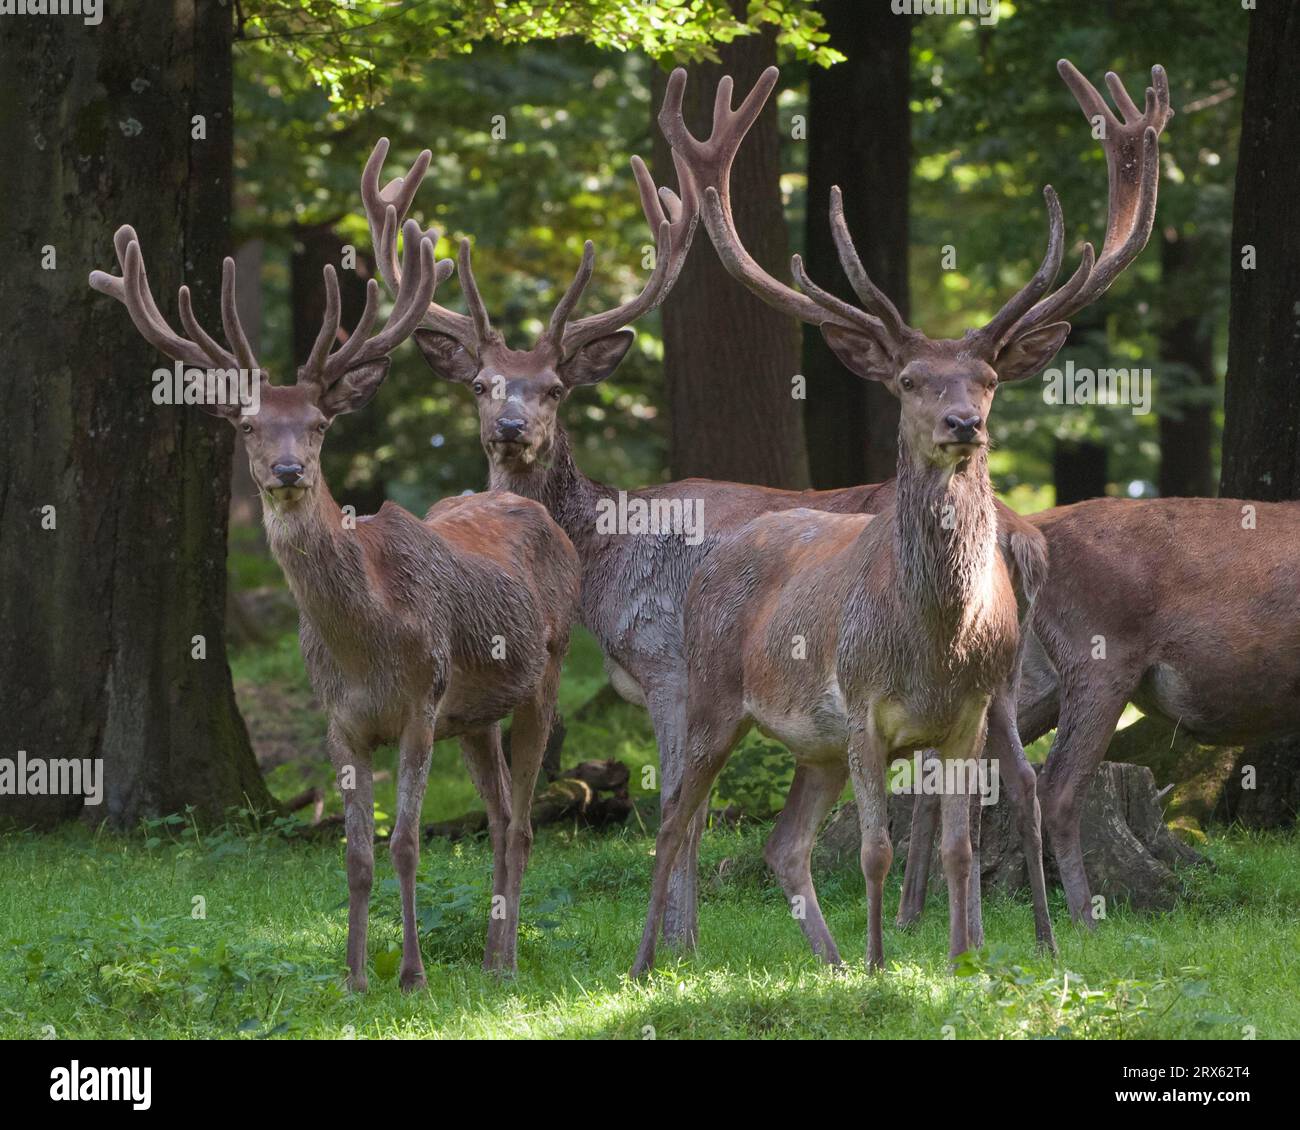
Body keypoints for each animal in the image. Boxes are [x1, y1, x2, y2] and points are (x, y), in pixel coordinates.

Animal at [89, 198, 581, 990]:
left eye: (320, 424)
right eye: (249, 423)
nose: (288, 470)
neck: (366, 640)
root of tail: (538, 512)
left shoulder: (420, 707)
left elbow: (407, 842)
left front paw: (410, 975)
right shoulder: (341, 723)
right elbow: (354, 853)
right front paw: (353, 978)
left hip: (549, 670)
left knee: (528, 821)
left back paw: (504, 966)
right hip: (475, 715)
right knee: (504, 815)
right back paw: (485, 958)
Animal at [361, 80, 1048, 957]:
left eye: (554, 387)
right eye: (483, 384)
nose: (510, 429)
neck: (603, 557)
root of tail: (1027, 536)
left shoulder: (667, 665)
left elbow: (674, 808)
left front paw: (678, 944)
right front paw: (683, 938)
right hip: (1000, 667)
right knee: (1014, 771)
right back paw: (1005, 936)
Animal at [630, 59, 1170, 976]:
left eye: (986, 380)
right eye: (912, 379)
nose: (964, 423)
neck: (933, 644)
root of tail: (724, 550)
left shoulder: (962, 720)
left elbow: (956, 845)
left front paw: (955, 964)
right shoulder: (862, 708)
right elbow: (876, 850)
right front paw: (890, 967)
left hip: (811, 747)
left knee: (784, 843)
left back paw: (834, 961)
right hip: (714, 695)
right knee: (675, 817)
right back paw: (649, 966)